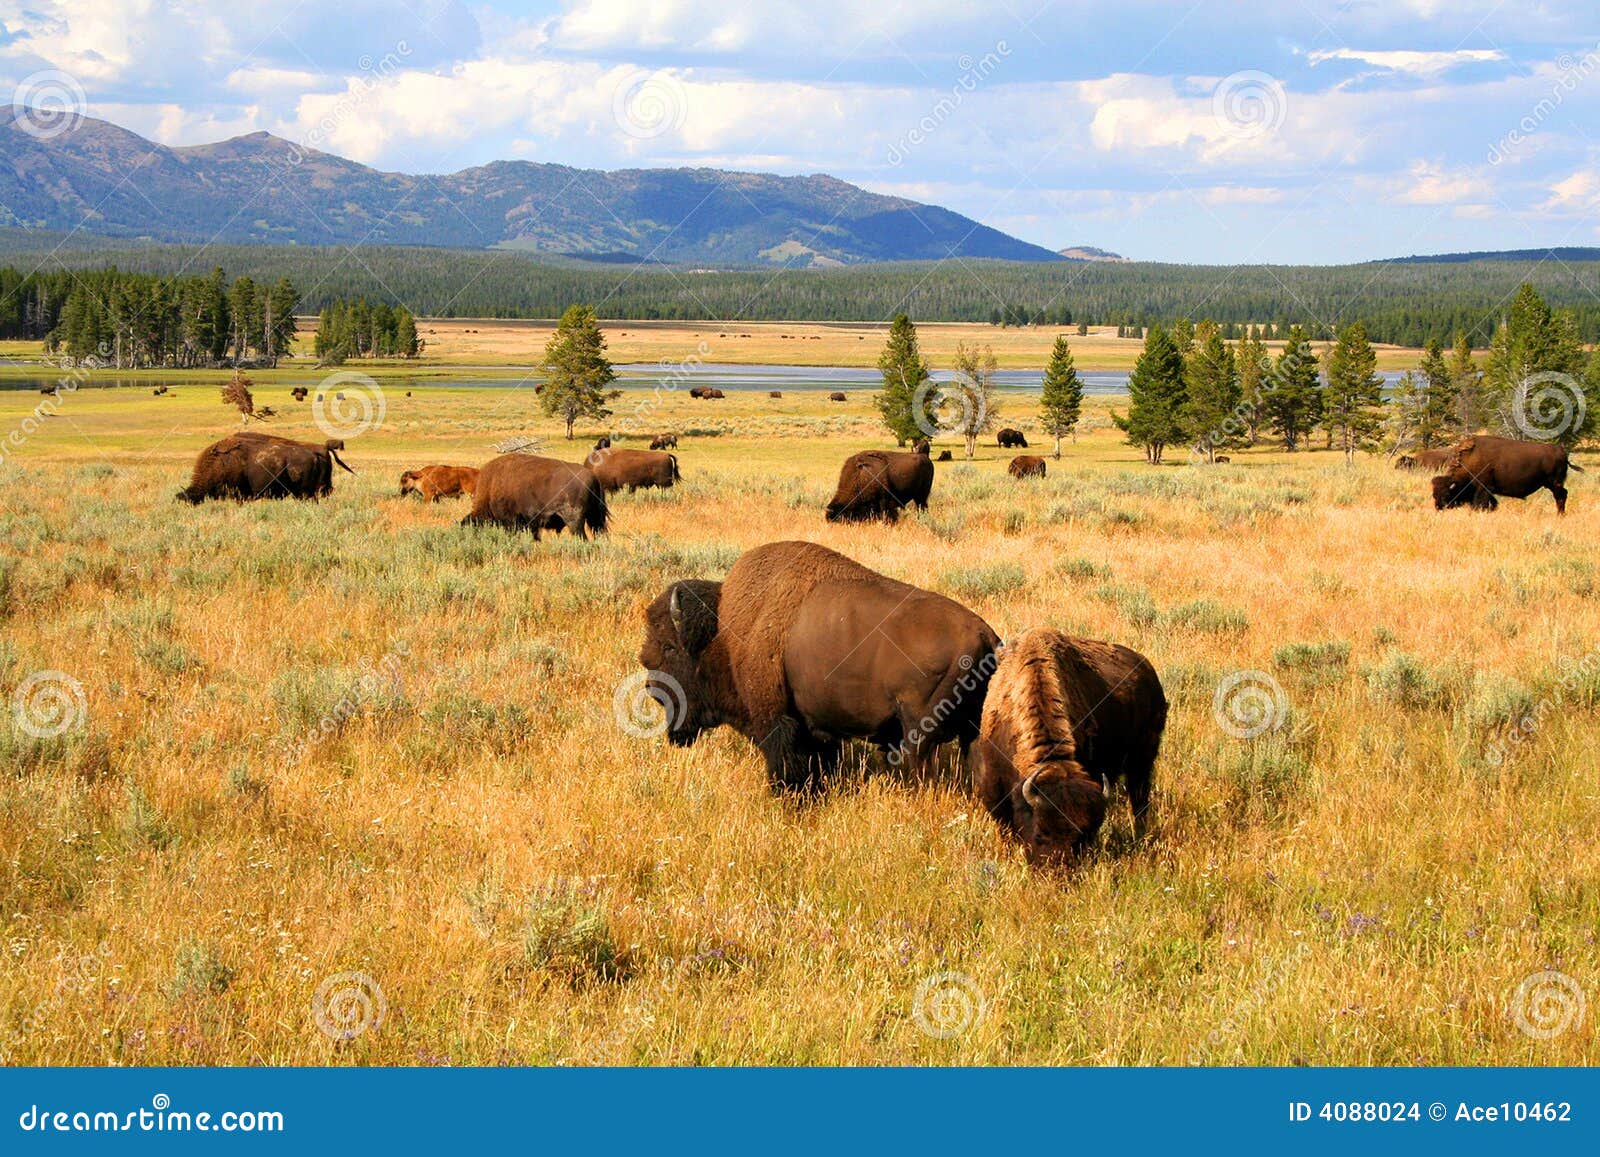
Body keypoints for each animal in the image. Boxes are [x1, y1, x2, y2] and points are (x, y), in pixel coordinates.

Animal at [638, 541, 1001, 789]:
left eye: (670, 646)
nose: (651, 688)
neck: (724, 631)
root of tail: (984, 635)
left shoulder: (777, 721)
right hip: (972, 731)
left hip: (919, 734)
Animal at [973, 628, 1167, 862]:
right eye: (1040, 833)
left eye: (1082, 837)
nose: (1057, 868)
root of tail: (1149, 671)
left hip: (1142, 761)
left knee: (1139, 798)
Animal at [1434, 435, 1582, 514]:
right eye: (1434, 494)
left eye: (1446, 494)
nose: (1439, 508)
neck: (1471, 459)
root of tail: (1561, 451)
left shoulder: (1483, 488)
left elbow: (1481, 503)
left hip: (1555, 483)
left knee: (1561, 496)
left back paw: (1560, 515)